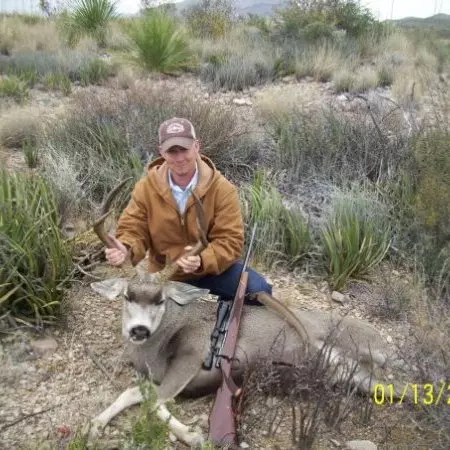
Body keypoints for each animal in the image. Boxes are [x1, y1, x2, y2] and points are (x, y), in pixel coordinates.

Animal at [89, 181, 396, 444]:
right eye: (127, 296)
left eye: (161, 299)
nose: (139, 330)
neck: (156, 349)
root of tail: (383, 342)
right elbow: (133, 392)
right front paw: (94, 425)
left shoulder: (190, 358)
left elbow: (152, 401)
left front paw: (193, 435)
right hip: (359, 378)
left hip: (362, 350)